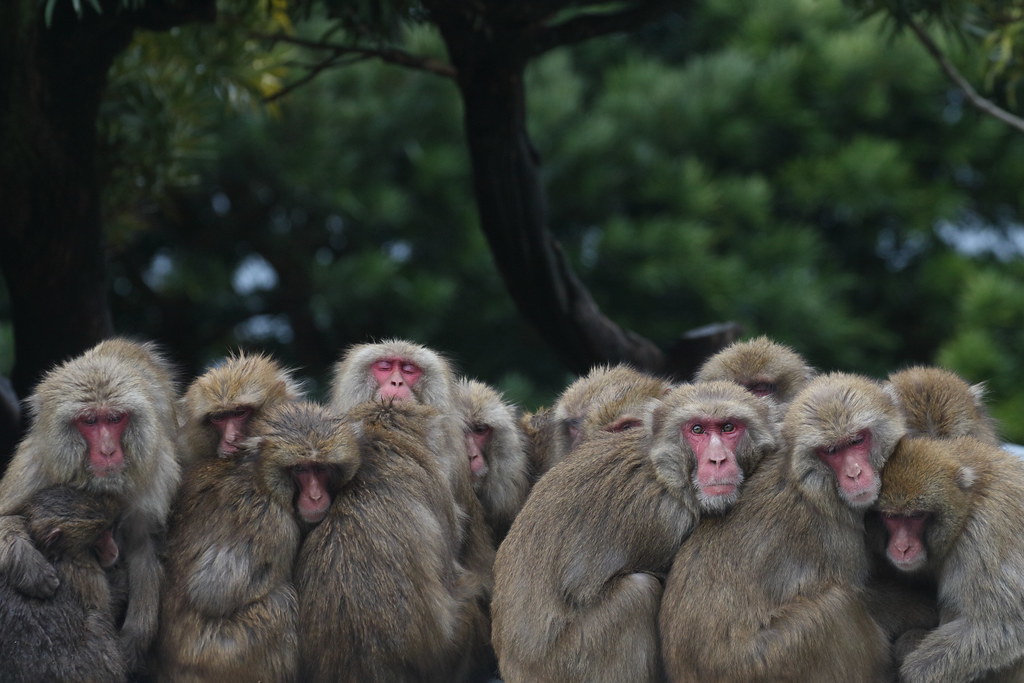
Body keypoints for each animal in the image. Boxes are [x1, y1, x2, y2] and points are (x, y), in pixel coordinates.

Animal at [0, 485, 127, 682]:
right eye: (100, 537)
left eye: (110, 530)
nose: (113, 550)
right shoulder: (85, 571)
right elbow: (106, 608)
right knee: (98, 622)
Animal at [157, 400, 359, 682]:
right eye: (300, 469)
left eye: (321, 468)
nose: (316, 497)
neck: (261, 478)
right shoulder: (272, 522)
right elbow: (212, 590)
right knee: (280, 604)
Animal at [492, 381, 779, 683]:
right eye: (697, 429)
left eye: (728, 427)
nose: (717, 460)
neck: (665, 472)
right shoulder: (665, 522)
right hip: (567, 664)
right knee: (638, 592)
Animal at [659, 372, 905, 682]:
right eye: (831, 451)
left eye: (857, 440)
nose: (855, 474)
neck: (810, 480)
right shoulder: (834, 536)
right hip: (765, 663)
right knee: (837, 607)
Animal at [875, 435, 1024, 682]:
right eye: (891, 516)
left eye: (917, 515)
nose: (902, 547)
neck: (969, 503)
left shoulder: (985, 536)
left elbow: (1001, 626)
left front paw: (914, 673)